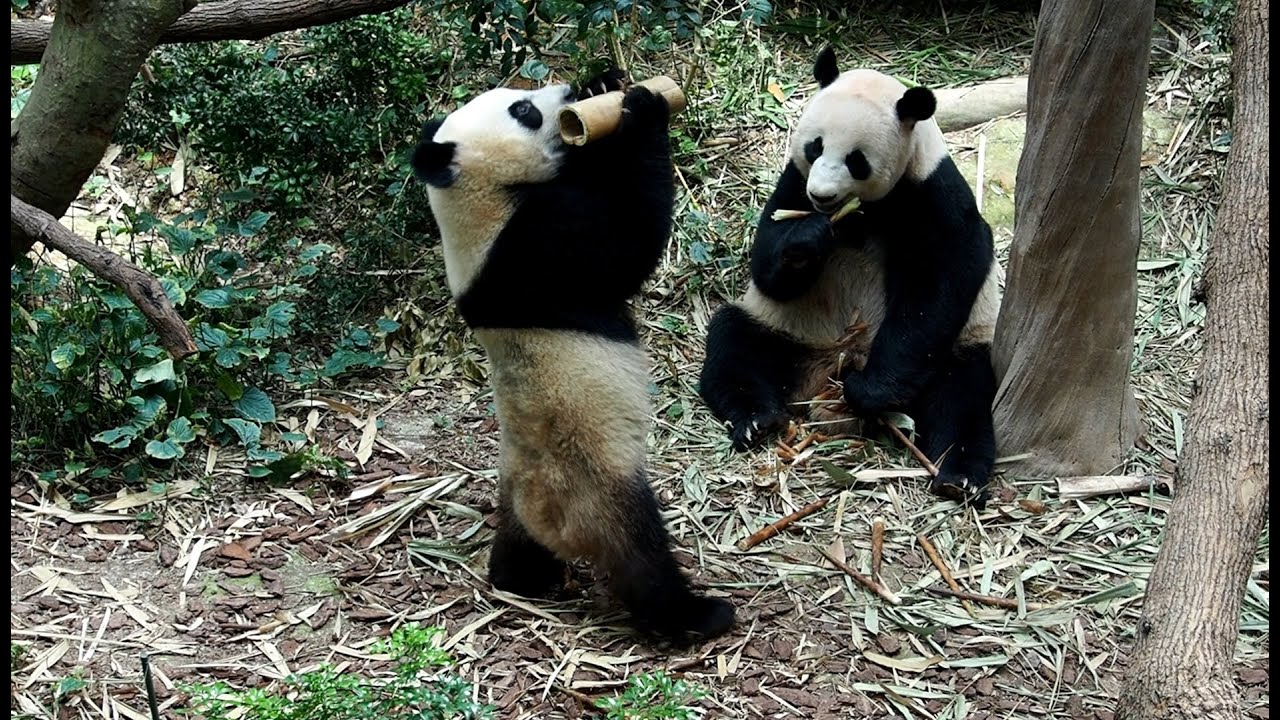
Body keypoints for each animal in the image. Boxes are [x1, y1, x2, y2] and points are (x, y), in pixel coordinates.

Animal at [410, 71, 735, 643]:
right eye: (522, 110)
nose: (562, 96)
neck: (478, 196)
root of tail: (544, 514)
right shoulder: (532, 250)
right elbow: (626, 244)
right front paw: (642, 112)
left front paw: (603, 83)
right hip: (601, 487)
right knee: (641, 560)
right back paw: (699, 615)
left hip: (517, 491)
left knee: (517, 548)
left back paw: (518, 580)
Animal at [699, 47, 1002, 507]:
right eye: (815, 146)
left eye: (856, 161)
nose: (822, 196)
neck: (860, 212)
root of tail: (828, 369)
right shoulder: (794, 182)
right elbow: (767, 257)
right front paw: (805, 241)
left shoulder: (931, 192)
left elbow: (942, 280)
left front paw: (871, 388)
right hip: (785, 328)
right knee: (735, 343)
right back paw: (757, 418)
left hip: (958, 346)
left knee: (961, 395)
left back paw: (958, 474)